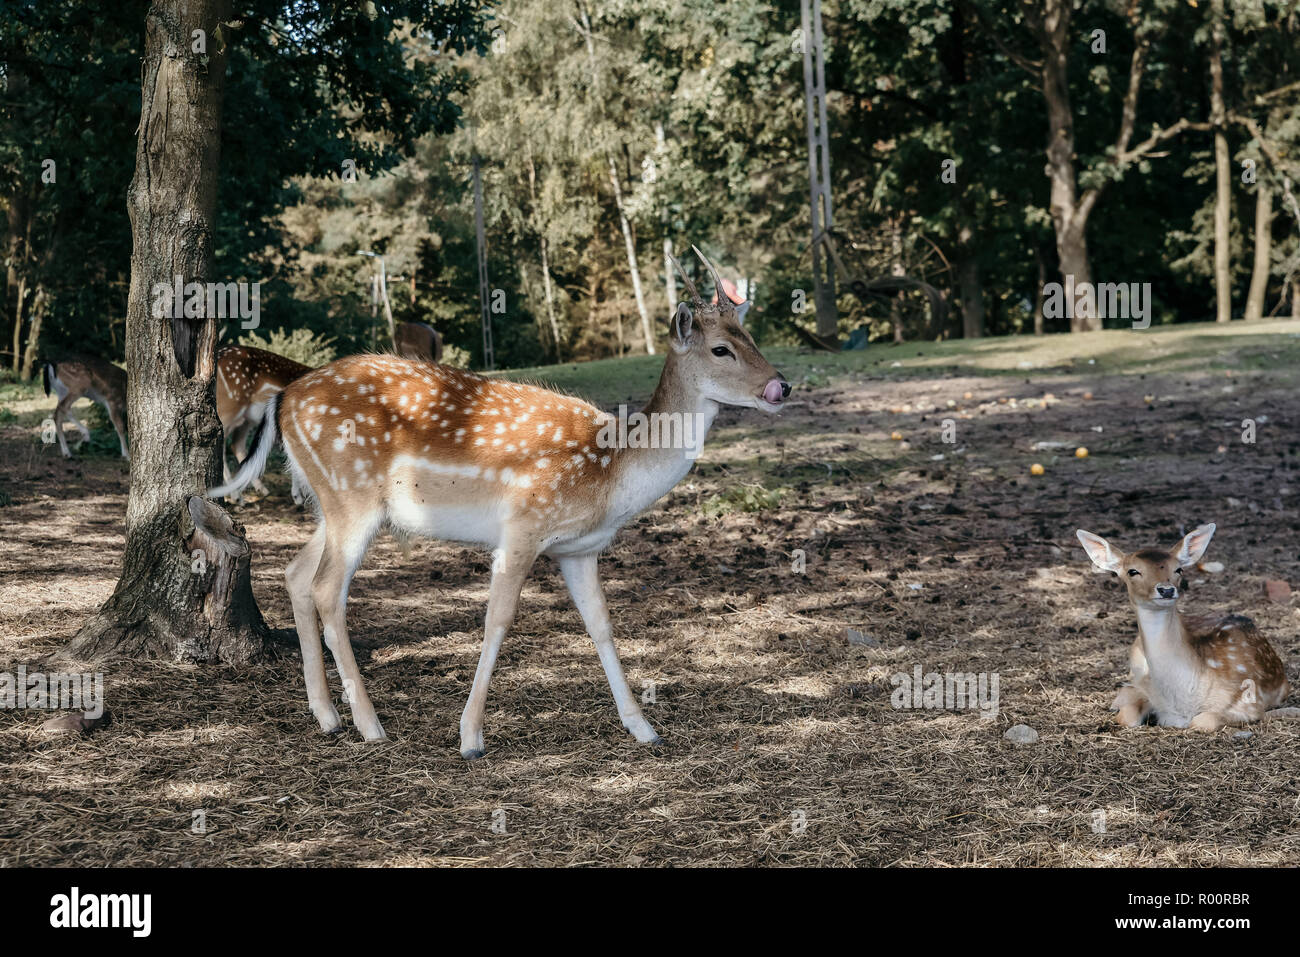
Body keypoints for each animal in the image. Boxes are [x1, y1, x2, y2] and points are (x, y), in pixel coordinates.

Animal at [217, 345, 310, 500]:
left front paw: (298, 495)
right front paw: (298, 496)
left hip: (245, 419)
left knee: (237, 445)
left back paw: (262, 490)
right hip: (229, 407)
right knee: (222, 444)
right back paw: (236, 496)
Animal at [1077, 523, 1297, 731]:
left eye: (1178, 569)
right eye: (1133, 571)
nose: (1166, 590)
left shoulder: (1248, 699)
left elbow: (1203, 721)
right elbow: (1126, 717)